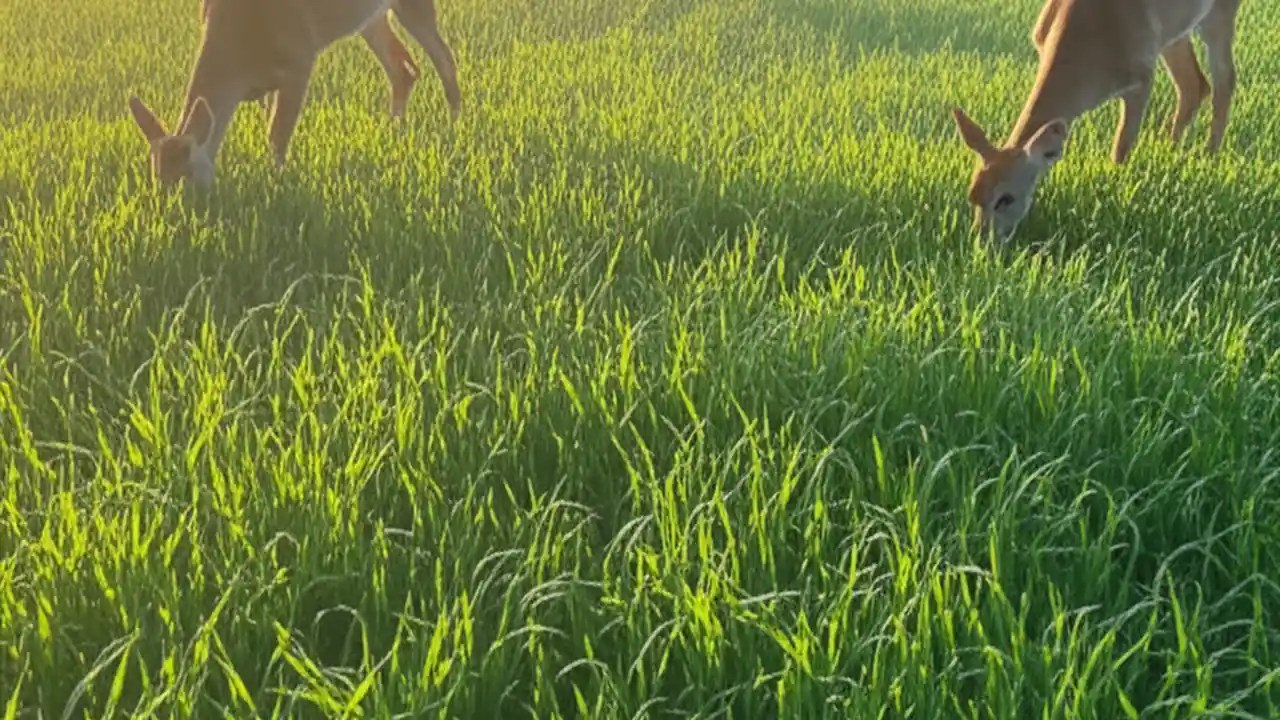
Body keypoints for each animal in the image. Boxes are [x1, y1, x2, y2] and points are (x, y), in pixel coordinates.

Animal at [127, 0, 462, 189]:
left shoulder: (300, 60)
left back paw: (454, 128)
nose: (175, 220)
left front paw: (275, 182)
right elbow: (268, 127)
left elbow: (278, 135)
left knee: (445, 59)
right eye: (156, 179)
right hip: (371, 19)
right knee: (402, 70)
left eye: (188, 177)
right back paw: (394, 131)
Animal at [951, 0, 1242, 240]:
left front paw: (1118, 187)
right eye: (972, 195)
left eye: (1006, 199)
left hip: (1220, 12)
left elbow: (1122, 147)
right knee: (1194, 84)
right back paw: (1170, 150)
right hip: (1176, 30)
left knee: (1224, 80)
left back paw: (1209, 155)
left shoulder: (1142, 74)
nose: (984, 243)